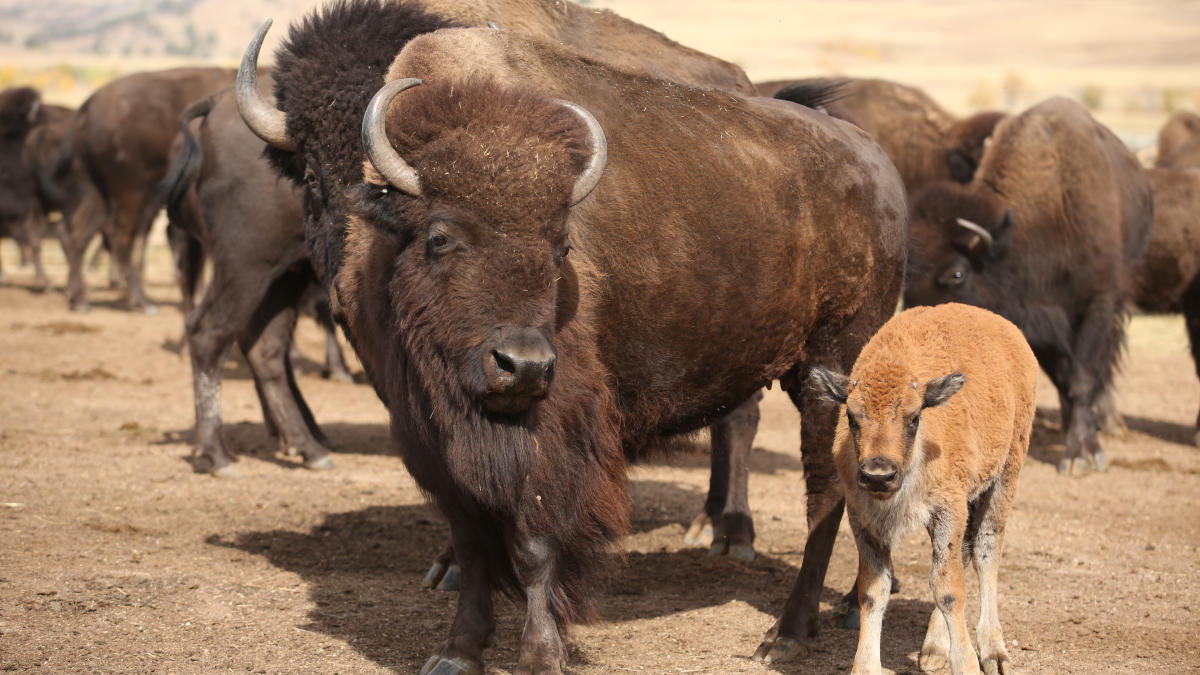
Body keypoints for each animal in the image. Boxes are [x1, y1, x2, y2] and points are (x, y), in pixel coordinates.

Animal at [904, 97, 1152, 475]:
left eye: (957, 274)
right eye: (908, 278)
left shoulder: (1097, 304)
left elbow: (1081, 379)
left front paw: (1082, 456)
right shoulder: (1040, 325)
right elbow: (1065, 379)